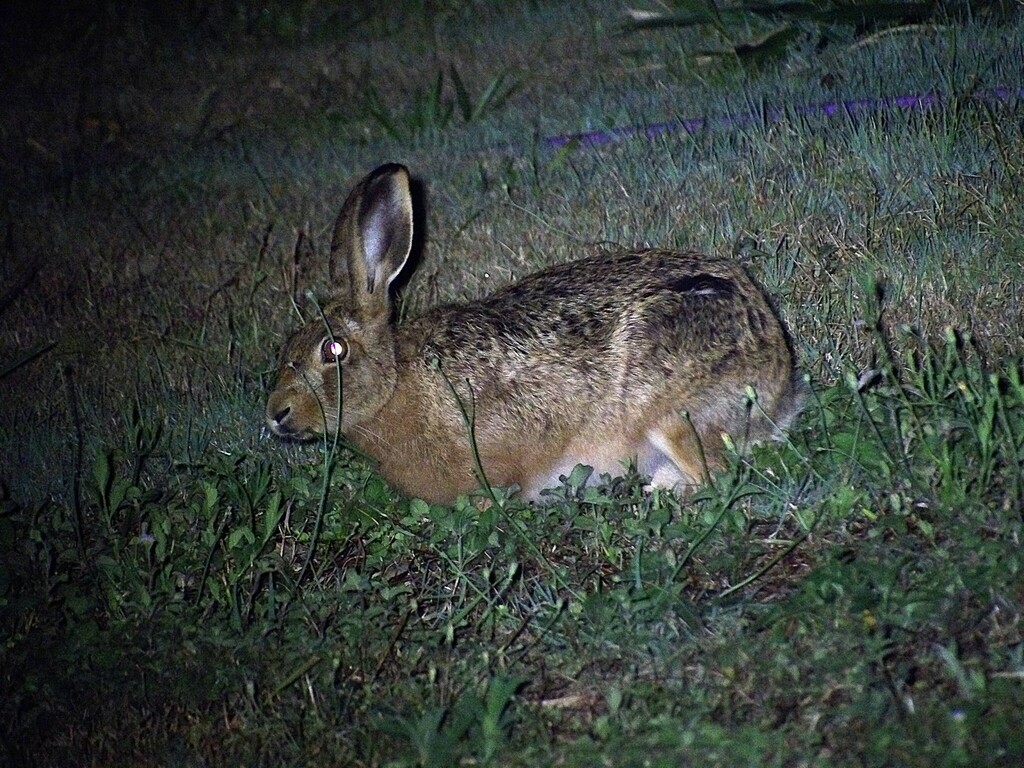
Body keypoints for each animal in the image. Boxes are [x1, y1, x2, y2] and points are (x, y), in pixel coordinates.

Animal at [266, 162, 804, 505]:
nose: (276, 414)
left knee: (713, 472)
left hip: (669, 409)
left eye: (334, 349)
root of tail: (780, 369)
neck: (395, 380)